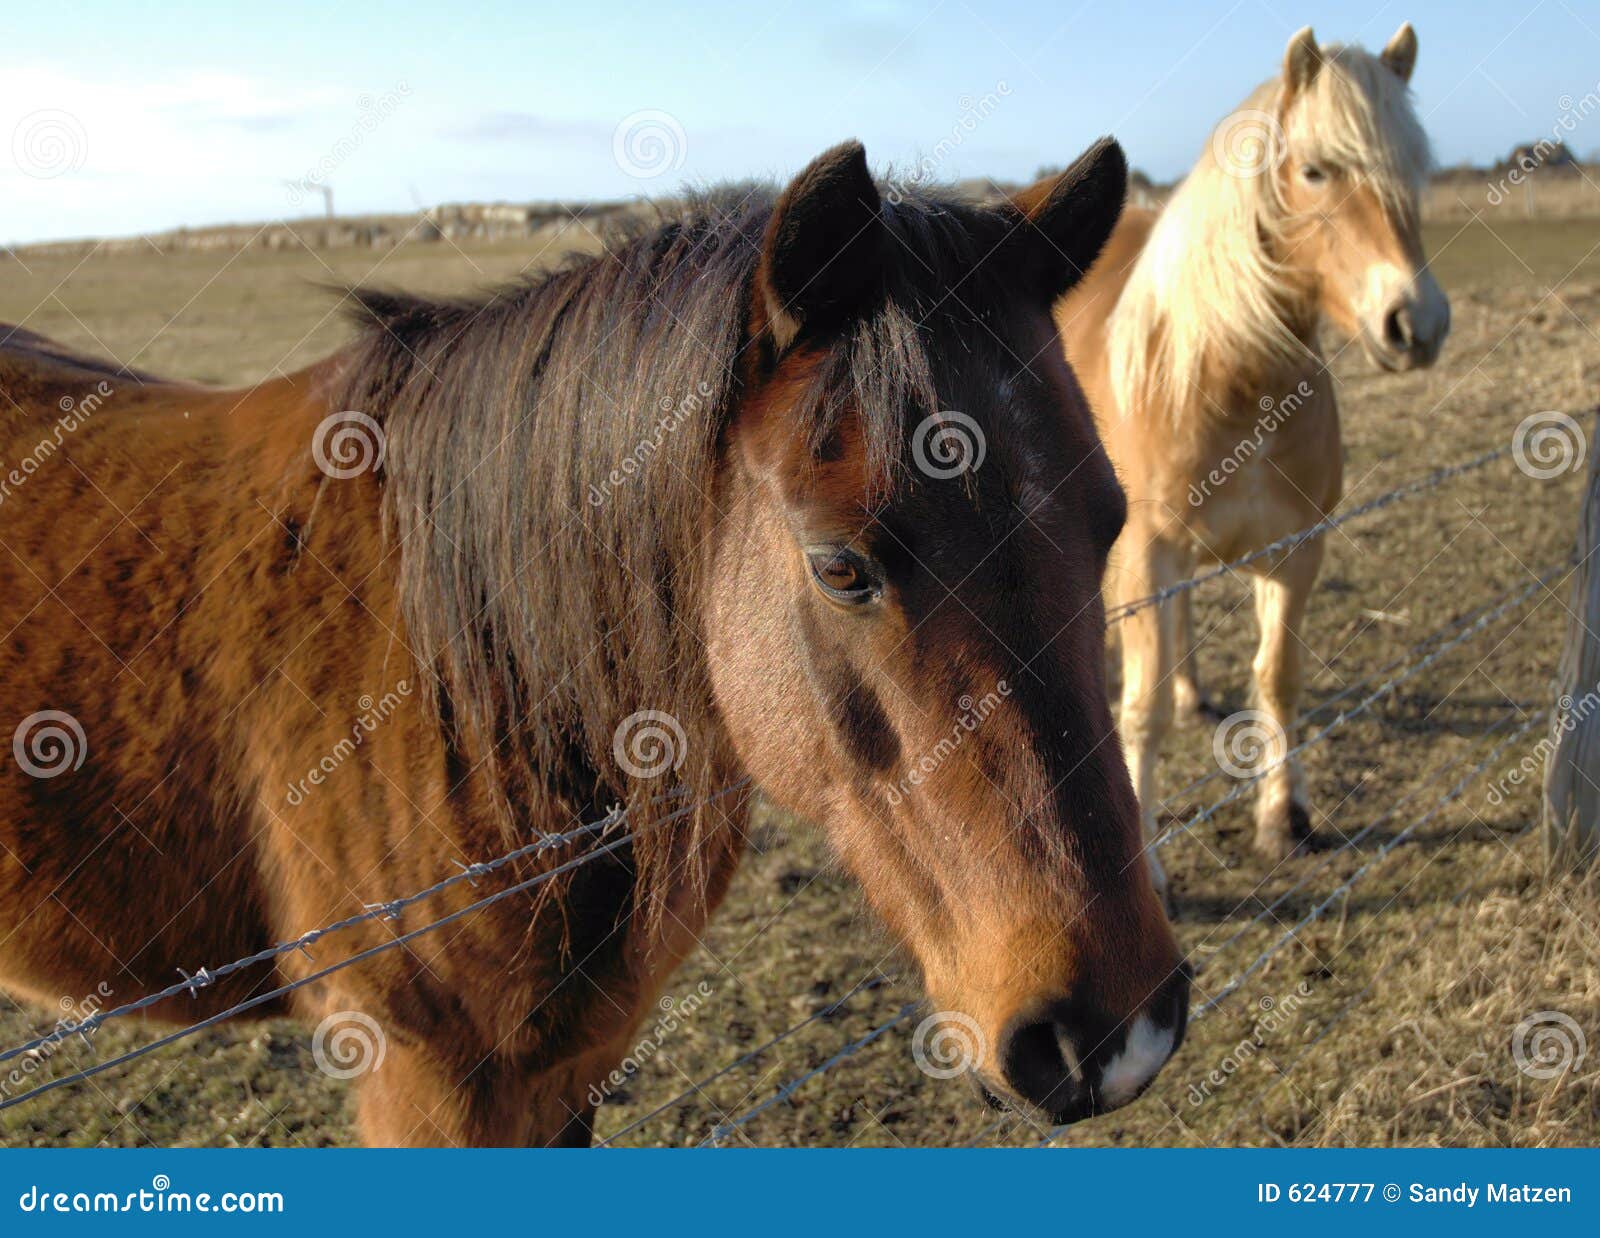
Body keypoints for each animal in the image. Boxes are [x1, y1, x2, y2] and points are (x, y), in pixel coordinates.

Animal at [0, 138, 1190, 1145]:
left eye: (1109, 522)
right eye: (842, 567)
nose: (1117, 1030)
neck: (467, 675)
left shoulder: (566, 1070)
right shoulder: (426, 1084)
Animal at [1056, 24, 1449, 889]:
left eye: (1415, 167)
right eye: (1315, 169)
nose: (1417, 323)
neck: (1226, 377)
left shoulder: (1295, 550)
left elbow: (1277, 679)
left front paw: (1283, 818)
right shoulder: (1148, 556)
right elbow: (1142, 711)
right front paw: (1149, 867)